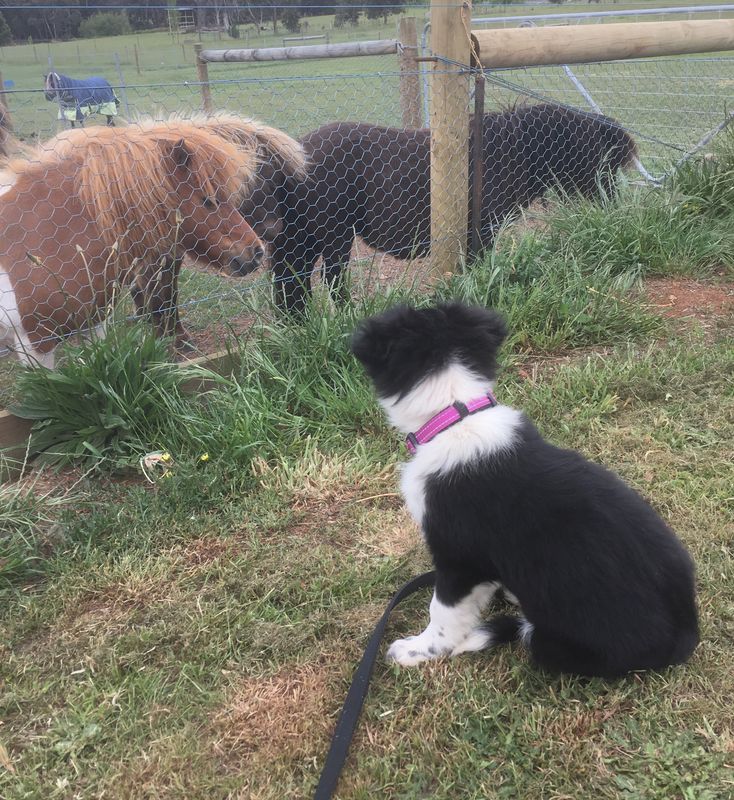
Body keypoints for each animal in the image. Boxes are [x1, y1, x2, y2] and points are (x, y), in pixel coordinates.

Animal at [267, 104, 638, 314]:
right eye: (601, 159)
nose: (614, 206)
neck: (511, 149)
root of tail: (296, 155)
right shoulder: (482, 230)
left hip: (306, 242)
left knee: (293, 283)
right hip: (334, 238)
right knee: (329, 280)